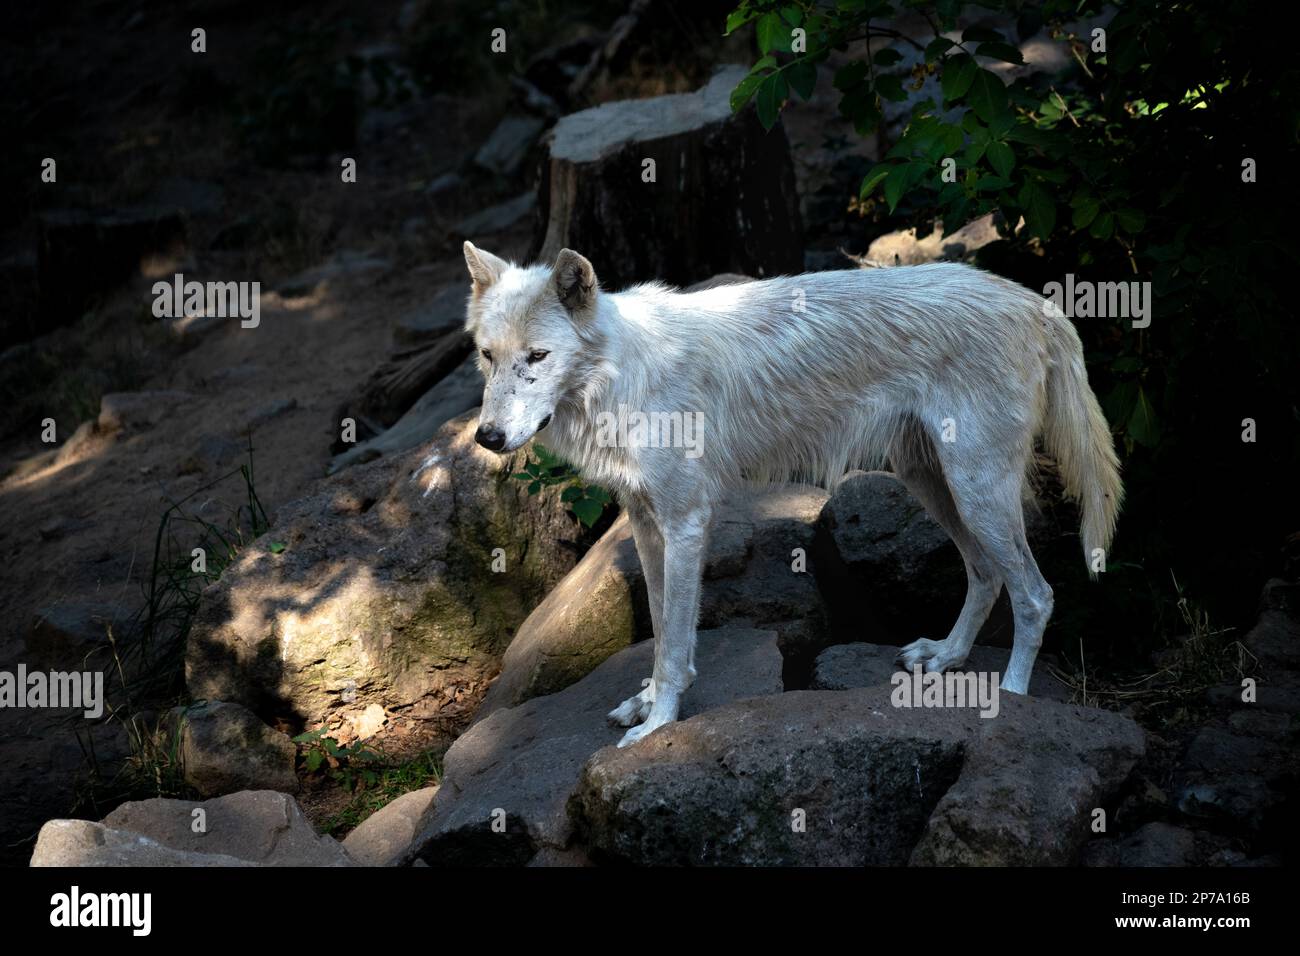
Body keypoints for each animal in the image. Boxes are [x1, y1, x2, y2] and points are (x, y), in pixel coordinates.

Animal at [461, 241, 1122, 747]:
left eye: (538, 357)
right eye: (487, 357)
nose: (487, 438)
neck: (624, 376)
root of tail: (1034, 301)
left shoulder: (686, 521)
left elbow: (673, 643)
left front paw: (657, 726)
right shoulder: (647, 525)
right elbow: (662, 630)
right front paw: (645, 702)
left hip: (976, 489)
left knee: (1035, 594)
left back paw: (1012, 702)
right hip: (933, 484)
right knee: (985, 575)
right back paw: (945, 657)